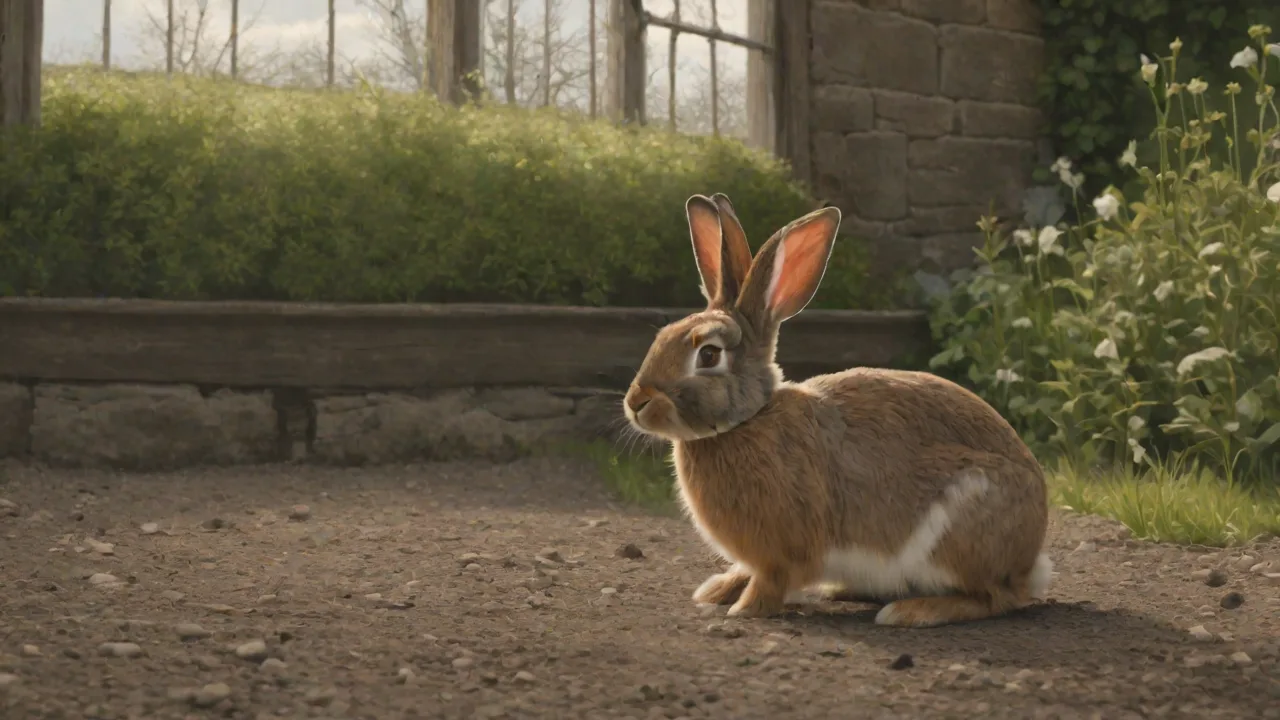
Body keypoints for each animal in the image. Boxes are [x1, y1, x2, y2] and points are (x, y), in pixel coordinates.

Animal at [620, 193, 1052, 627]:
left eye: (708, 355)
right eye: (663, 335)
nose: (636, 401)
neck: (749, 419)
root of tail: (1030, 559)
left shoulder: (785, 549)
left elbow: (772, 580)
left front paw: (745, 609)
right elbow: (745, 571)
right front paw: (717, 591)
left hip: (962, 524)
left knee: (995, 598)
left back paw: (910, 611)